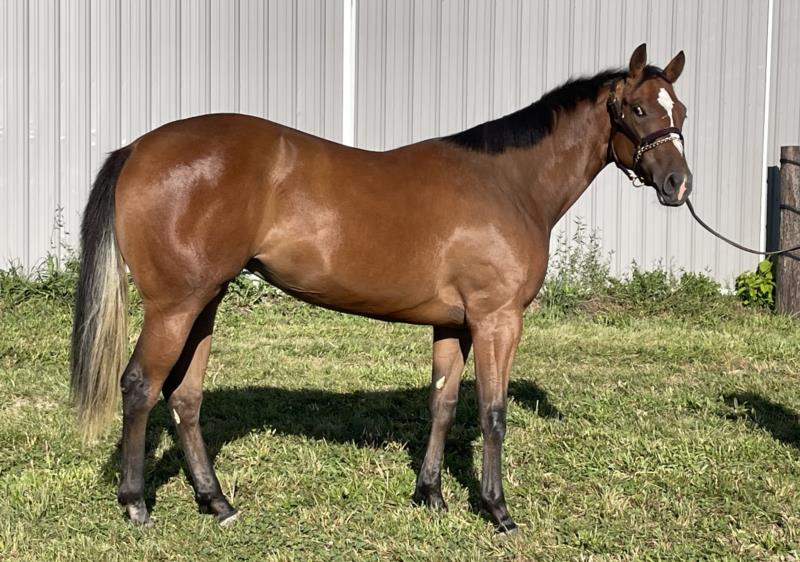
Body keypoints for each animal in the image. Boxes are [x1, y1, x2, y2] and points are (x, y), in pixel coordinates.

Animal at [71, 44, 691, 533]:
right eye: (638, 108)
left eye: (680, 109)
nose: (678, 184)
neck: (508, 183)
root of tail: (139, 149)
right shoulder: (497, 319)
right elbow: (492, 413)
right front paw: (498, 511)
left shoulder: (454, 324)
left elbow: (442, 404)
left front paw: (431, 495)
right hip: (175, 306)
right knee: (140, 387)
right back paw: (136, 504)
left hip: (206, 301)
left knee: (185, 397)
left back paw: (216, 502)